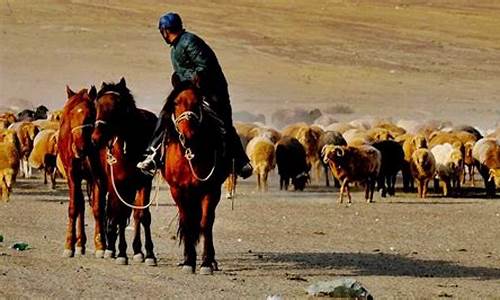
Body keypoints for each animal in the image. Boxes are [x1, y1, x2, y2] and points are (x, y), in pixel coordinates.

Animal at [59, 85, 106, 258]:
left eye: (90, 115)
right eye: (70, 115)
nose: (79, 147)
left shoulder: (99, 176)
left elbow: (98, 209)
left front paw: (101, 245)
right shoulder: (73, 175)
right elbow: (74, 208)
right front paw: (69, 245)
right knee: (79, 205)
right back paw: (79, 243)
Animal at [91, 77, 157, 264]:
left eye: (116, 106)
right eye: (97, 105)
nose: (95, 138)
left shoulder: (144, 183)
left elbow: (143, 216)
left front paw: (149, 253)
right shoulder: (117, 185)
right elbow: (118, 215)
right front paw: (119, 252)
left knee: (131, 213)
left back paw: (136, 250)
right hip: (101, 182)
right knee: (105, 211)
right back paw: (108, 247)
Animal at [161, 77, 231, 274]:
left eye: (198, 102)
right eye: (176, 103)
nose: (188, 136)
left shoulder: (211, 189)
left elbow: (205, 223)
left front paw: (206, 263)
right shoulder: (177, 190)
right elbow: (187, 222)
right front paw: (188, 261)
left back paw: (212, 260)